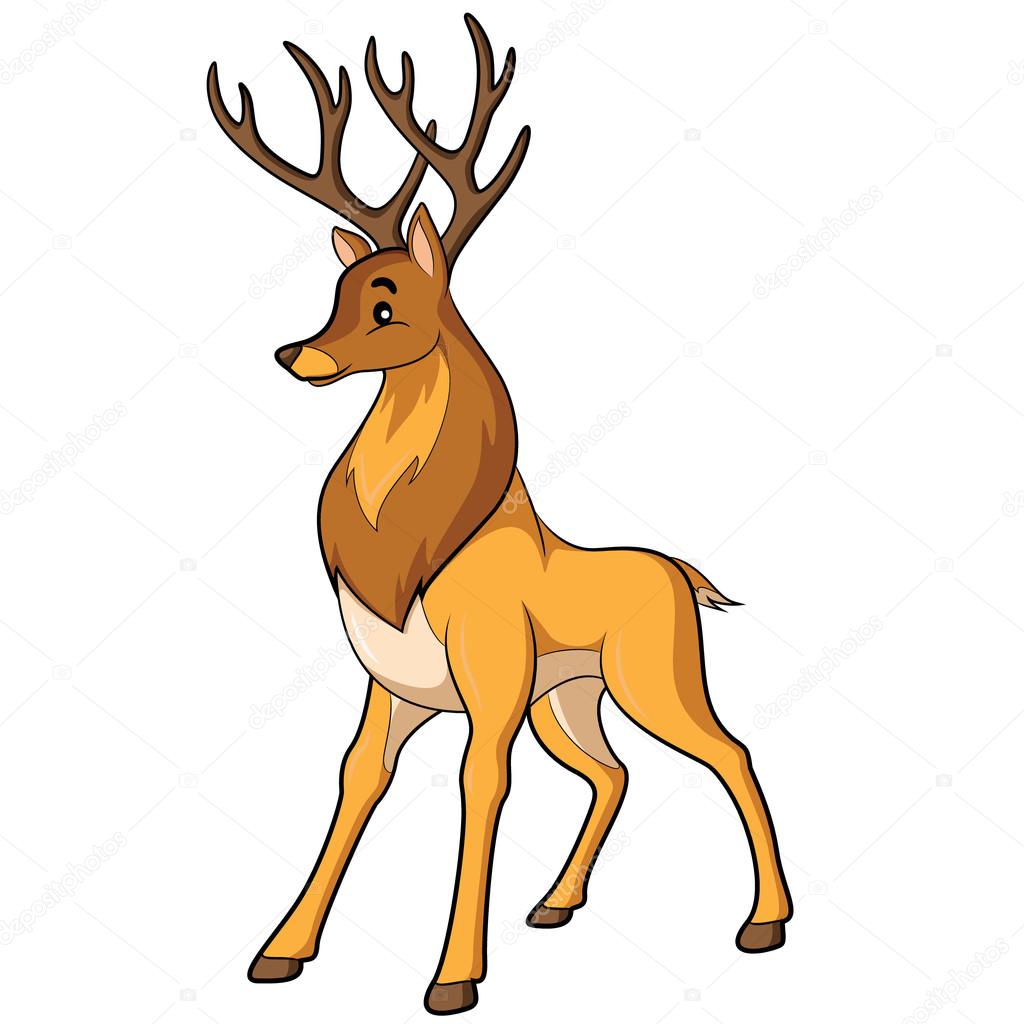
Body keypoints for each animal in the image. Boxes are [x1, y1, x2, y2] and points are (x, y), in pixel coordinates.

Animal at [208, 14, 792, 1016]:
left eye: (387, 304)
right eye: (338, 291)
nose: (295, 354)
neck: (414, 558)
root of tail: (682, 574)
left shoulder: (490, 681)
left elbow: (480, 783)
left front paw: (454, 976)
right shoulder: (394, 685)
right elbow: (355, 780)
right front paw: (279, 952)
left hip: (651, 678)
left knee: (733, 752)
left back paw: (765, 924)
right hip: (569, 698)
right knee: (614, 770)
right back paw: (554, 905)